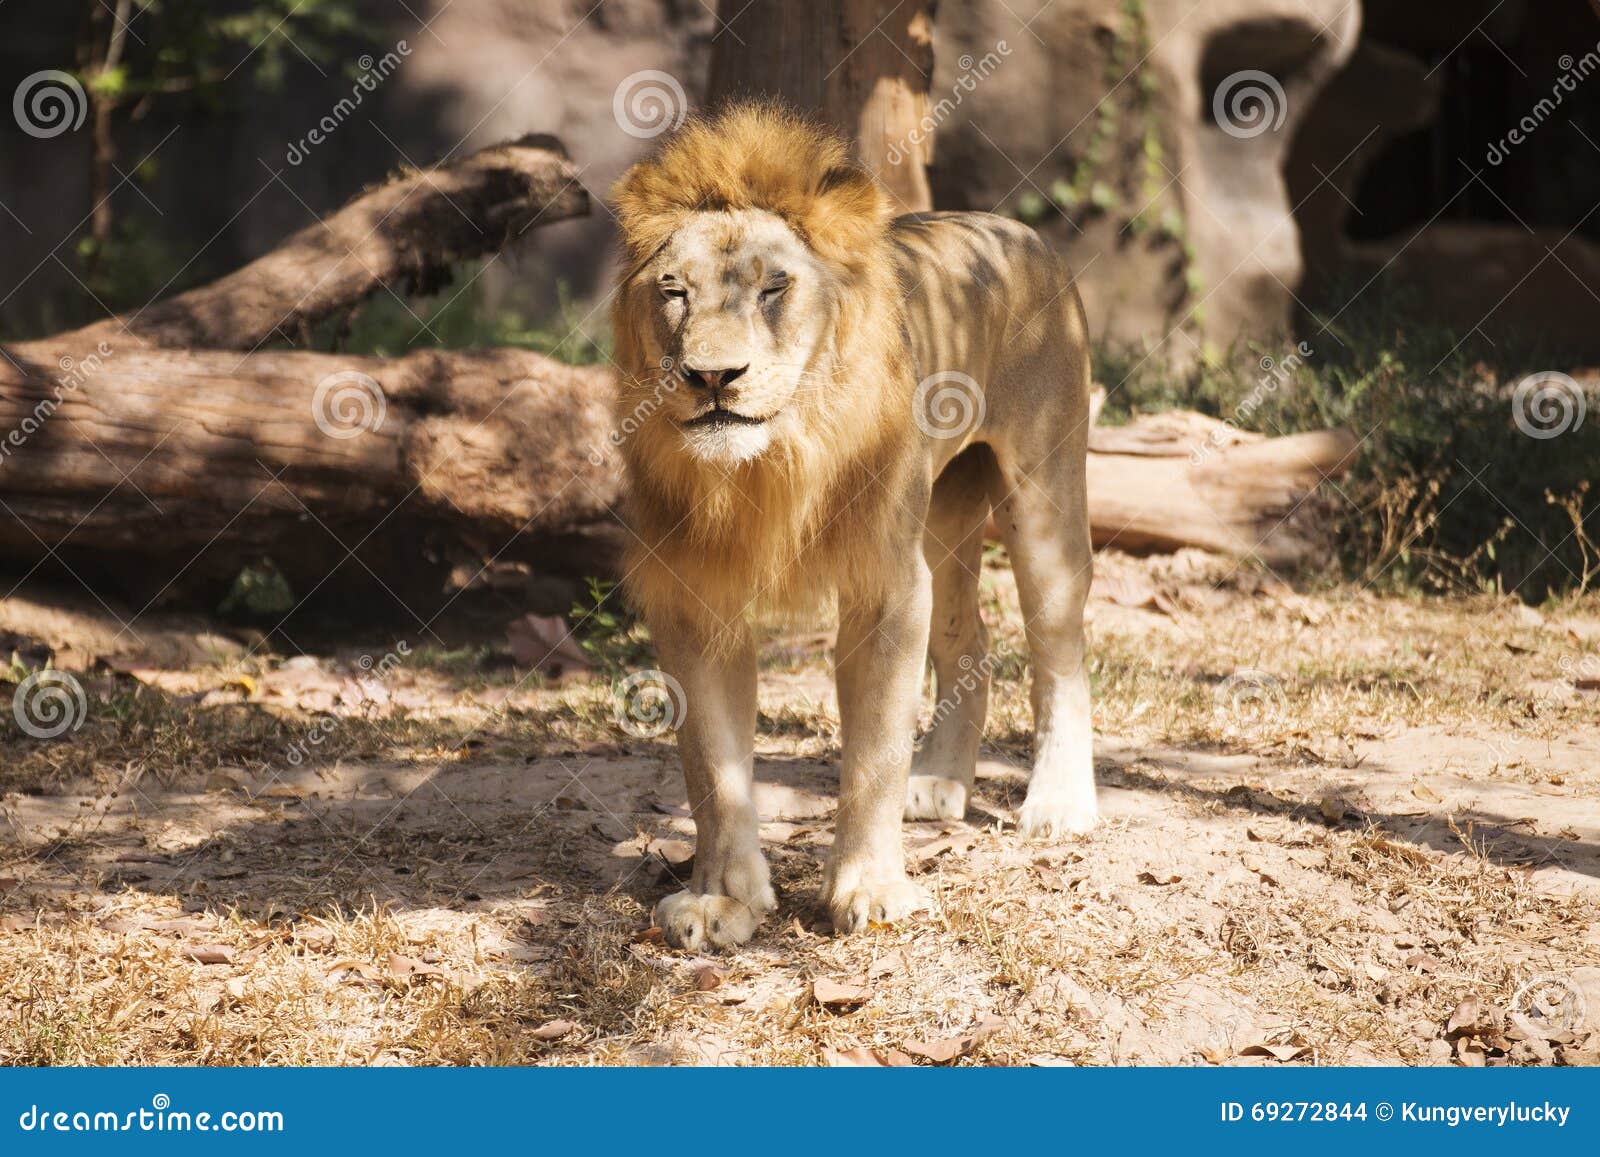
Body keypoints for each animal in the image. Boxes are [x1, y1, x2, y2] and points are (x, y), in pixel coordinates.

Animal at [610, 103, 1096, 949]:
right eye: (673, 291)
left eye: (774, 287)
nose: (711, 375)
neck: (766, 466)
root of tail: (1015, 228)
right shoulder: (694, 592)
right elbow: (712, 765)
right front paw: (719, 898)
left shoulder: (884, 581)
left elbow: (872, 751)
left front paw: (870, 888)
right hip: (942, 520)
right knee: (971, 642)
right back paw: (938, 782)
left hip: (1044, 495)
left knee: (1058, 651)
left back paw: (1060, 802)